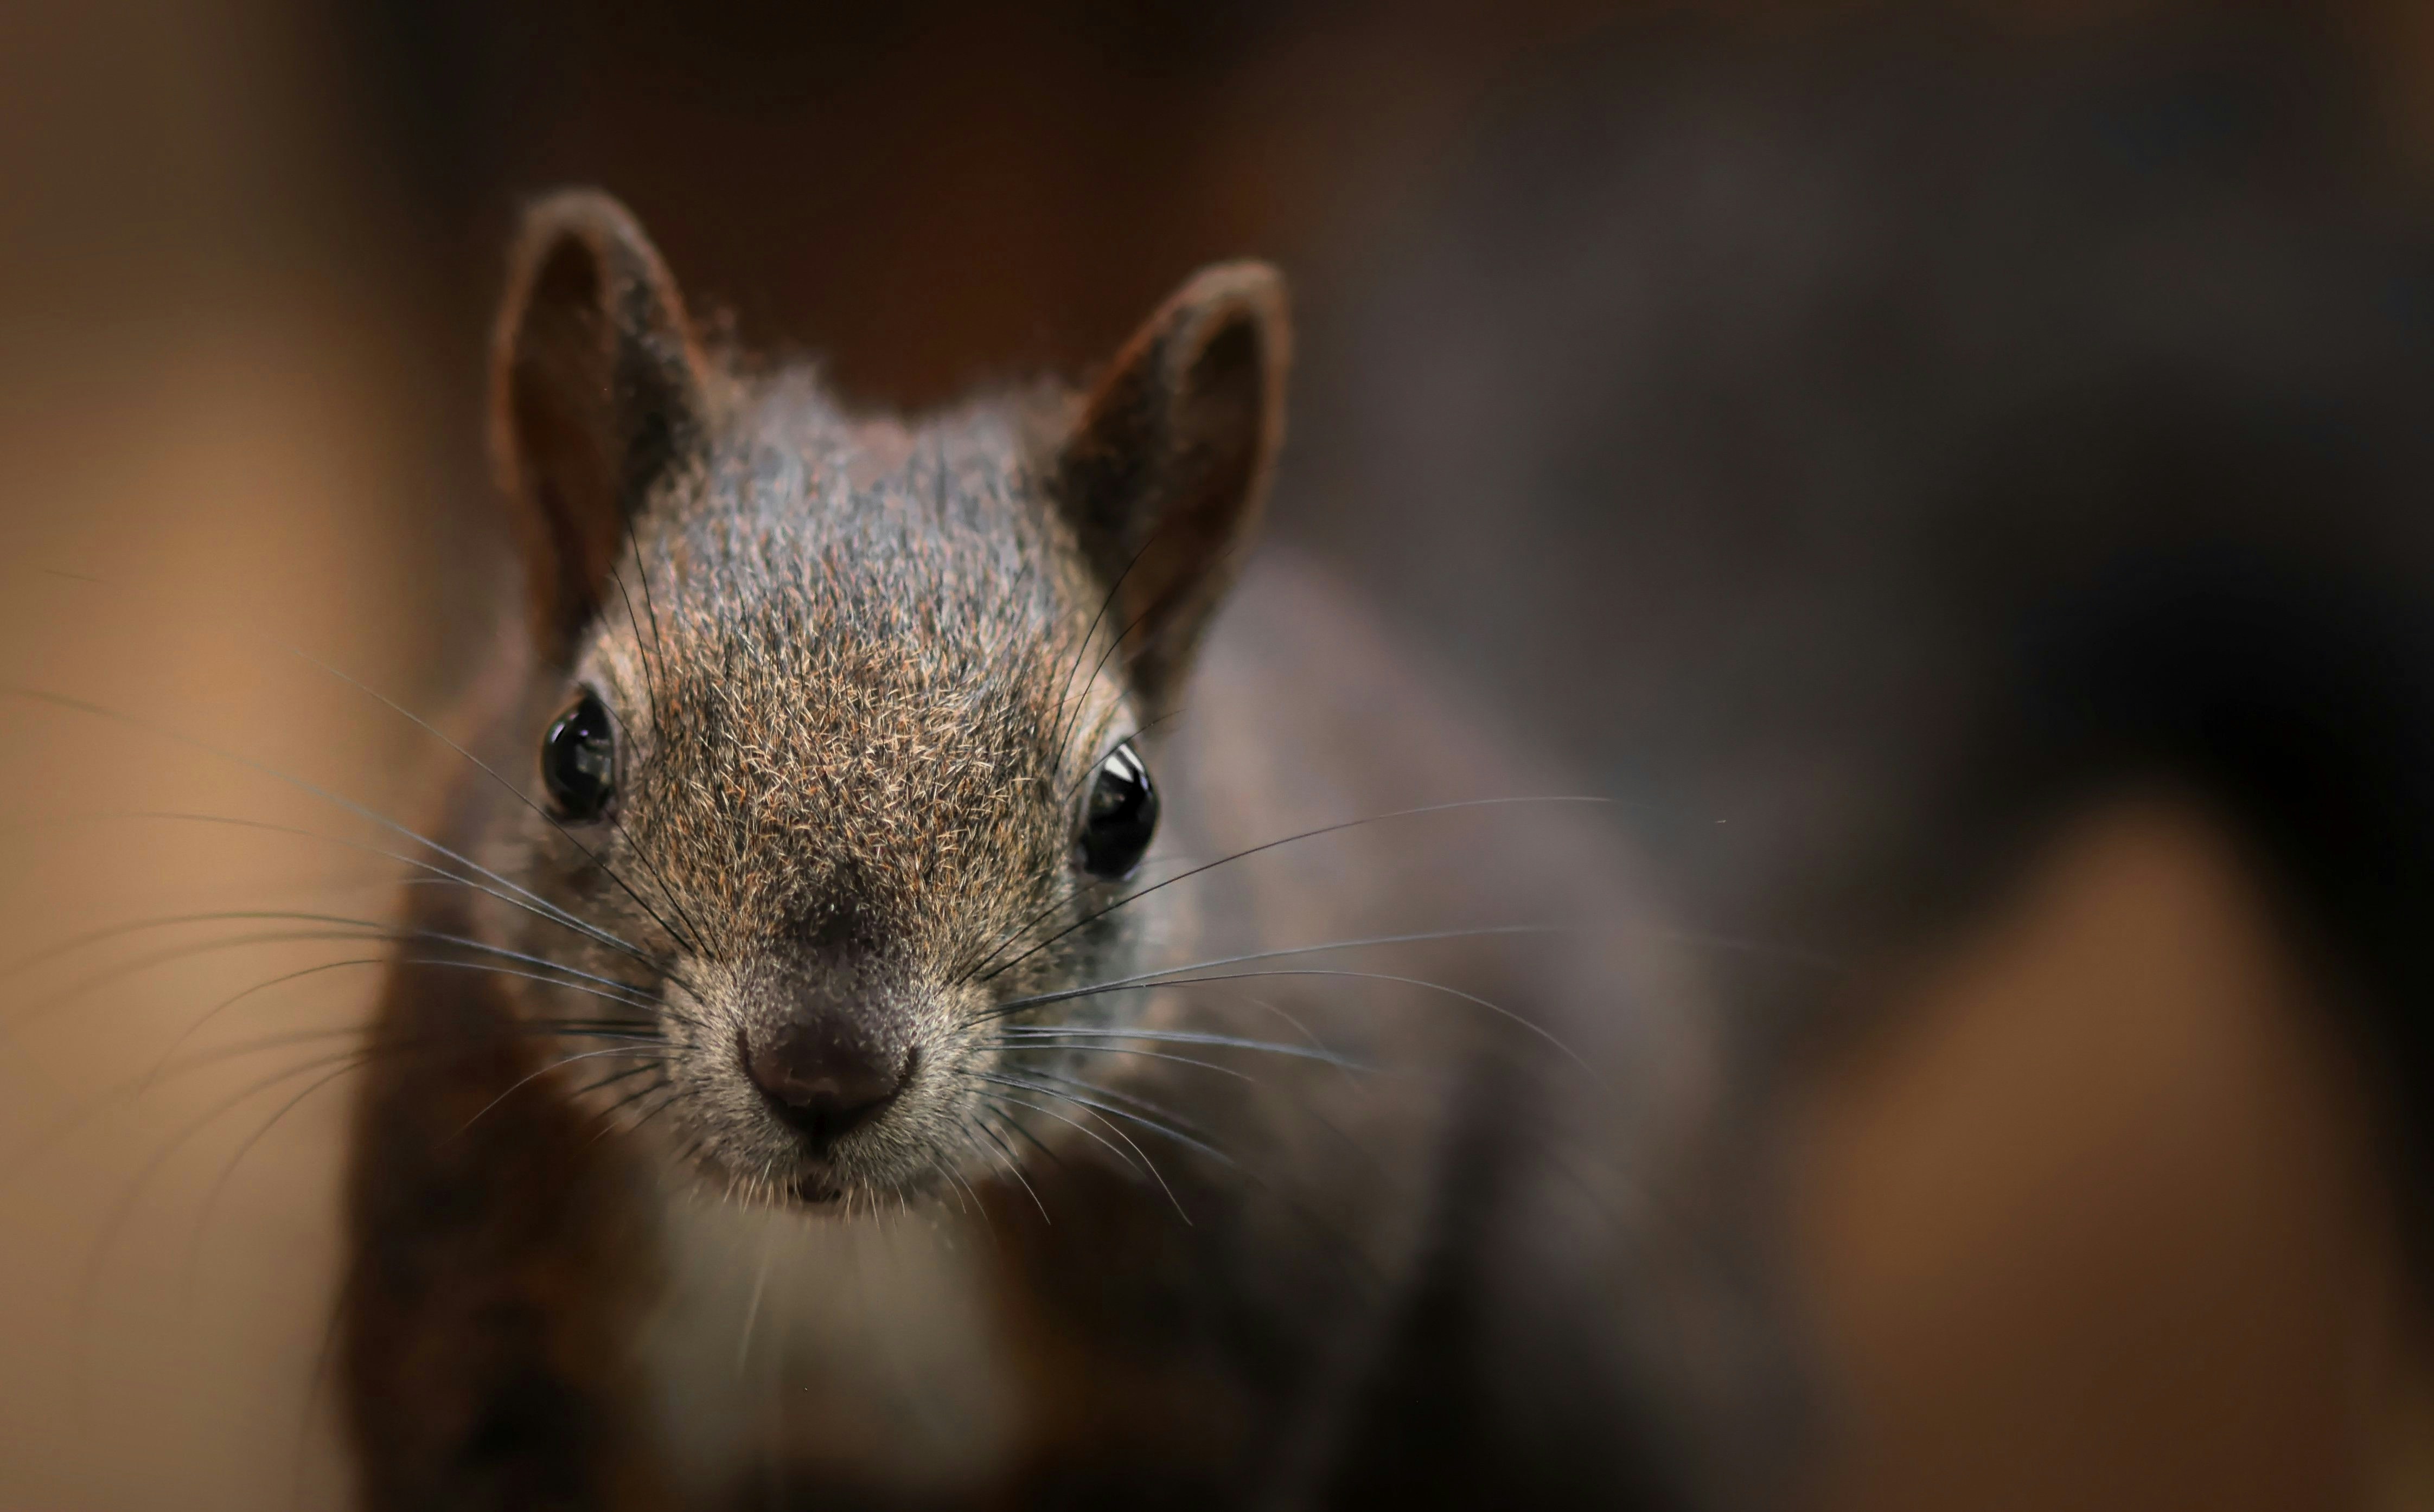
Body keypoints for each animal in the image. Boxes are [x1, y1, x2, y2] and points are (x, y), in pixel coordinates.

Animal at [338, 191, 1763, 1511]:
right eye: (571, 748)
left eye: (1125, 807)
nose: (823, 1070)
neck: (834, 1252)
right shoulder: (475, 1318)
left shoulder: (1237, 1328)